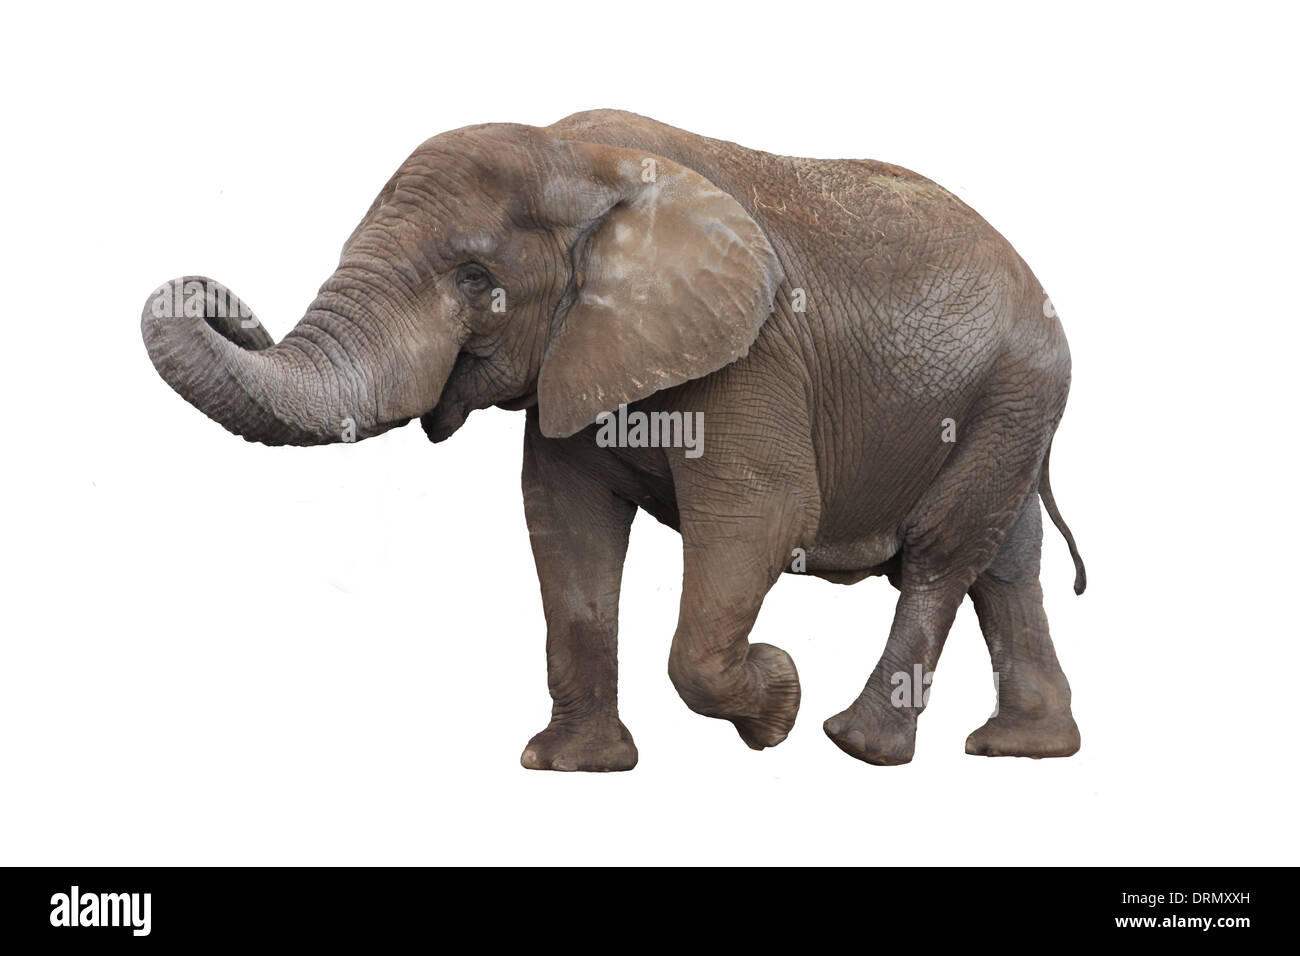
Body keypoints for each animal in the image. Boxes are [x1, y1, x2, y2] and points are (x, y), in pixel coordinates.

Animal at [141, 109, 1086, 771]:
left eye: (475, 279)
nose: (223, 302)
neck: (577, 157)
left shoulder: (757, 352)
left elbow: (762, 518)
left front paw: (776, 701)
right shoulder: (576, 354)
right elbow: (566, 527)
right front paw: (570, 768)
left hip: (1015, 390)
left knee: (939, 553)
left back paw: (857, 746)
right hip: (1013, 405)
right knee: (1004, 566)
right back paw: (1022, 751)